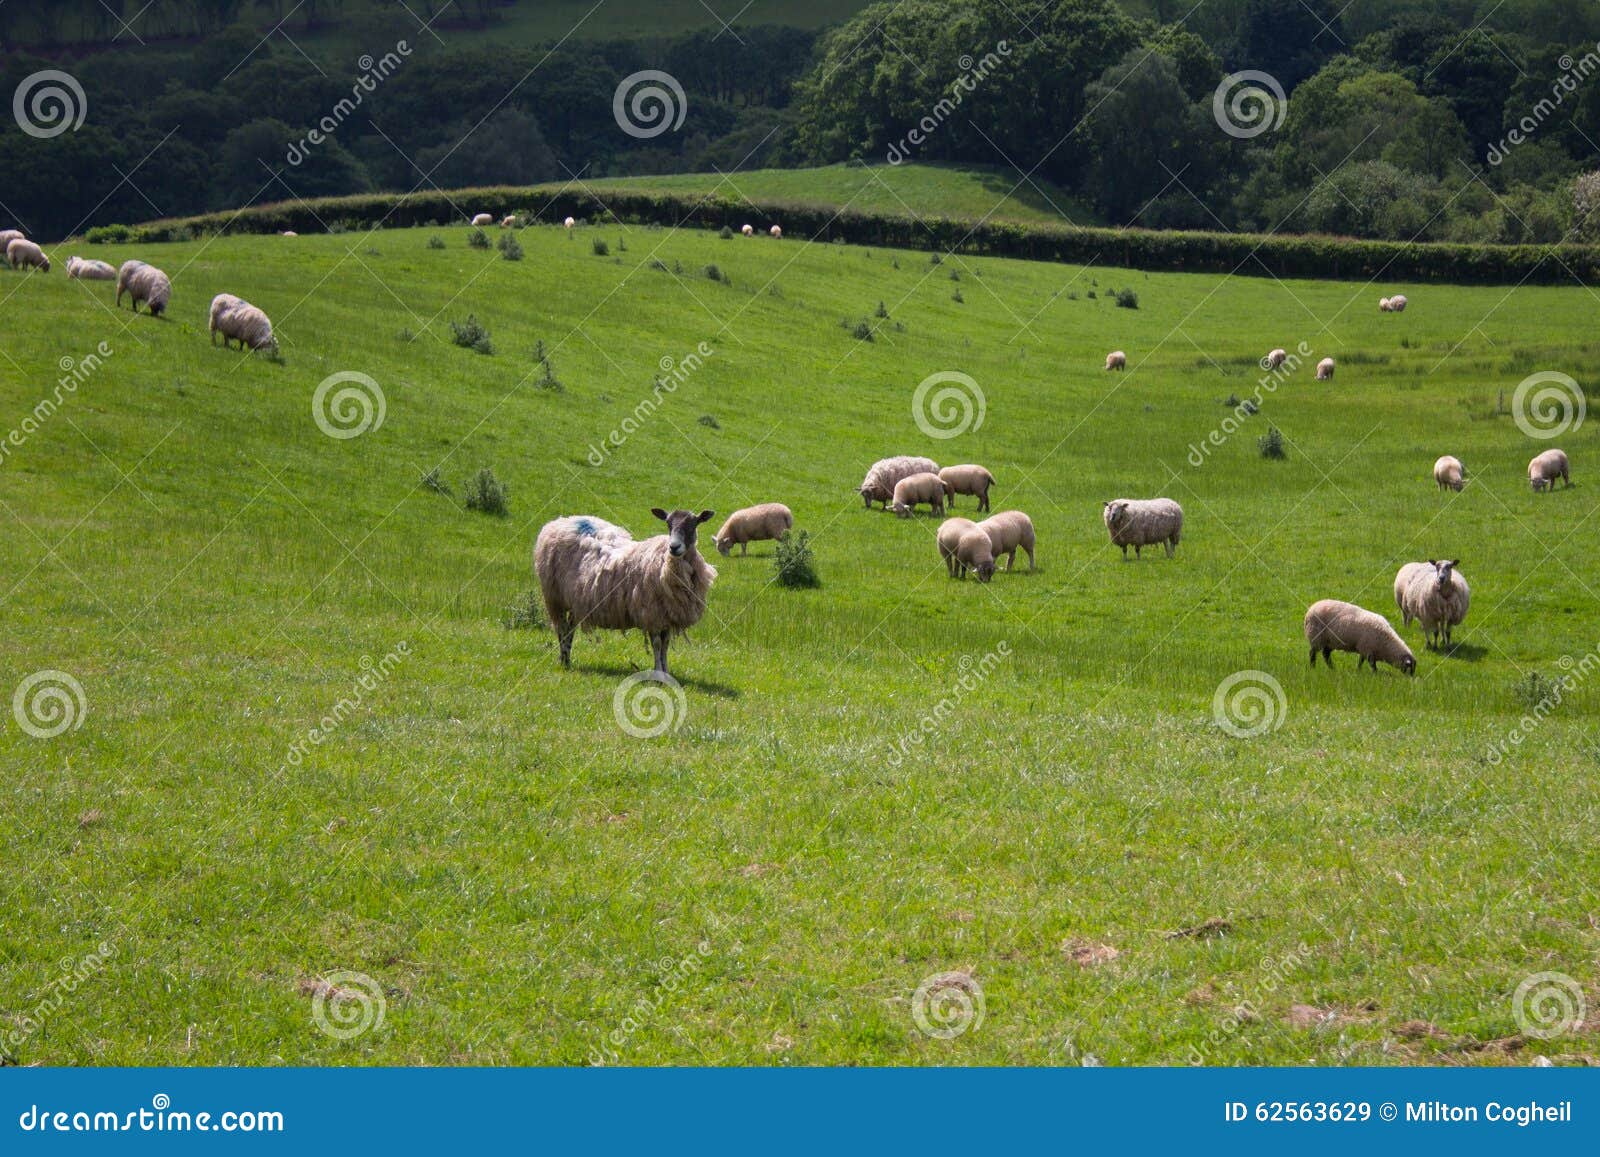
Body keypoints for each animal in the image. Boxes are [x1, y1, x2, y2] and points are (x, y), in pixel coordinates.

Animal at [534, 508, 716, 677]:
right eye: (668, 524)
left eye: (693, 524)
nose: (674, 547)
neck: (665, 563)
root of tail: (564, 520)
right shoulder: (651, 613)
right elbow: (657, 645)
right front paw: (658, 673)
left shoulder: (666, 615)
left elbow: (665, 645)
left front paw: (666, 673)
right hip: (554, 598)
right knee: (562, 630)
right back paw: (564, 661)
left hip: (575, 601)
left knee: (570, 629)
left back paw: (567, 660)